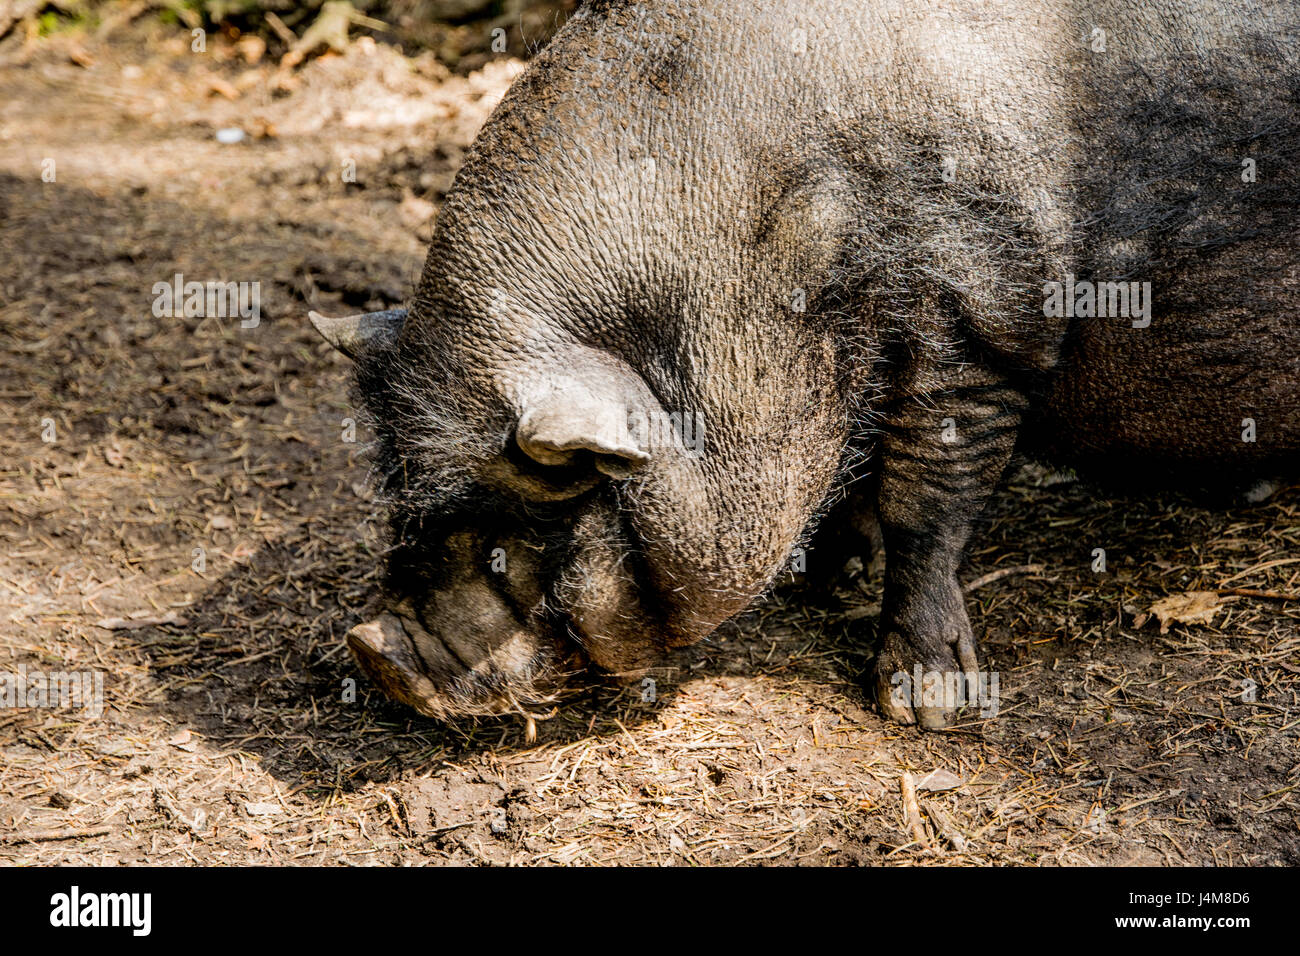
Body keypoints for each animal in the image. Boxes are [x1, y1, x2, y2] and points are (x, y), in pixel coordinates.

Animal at [311, 0, 1300, 729]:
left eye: (526, 511)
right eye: (396, 496)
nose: (375, 651)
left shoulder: (980, 333)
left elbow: (924, 511)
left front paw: (926, 709)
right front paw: (827, 577)